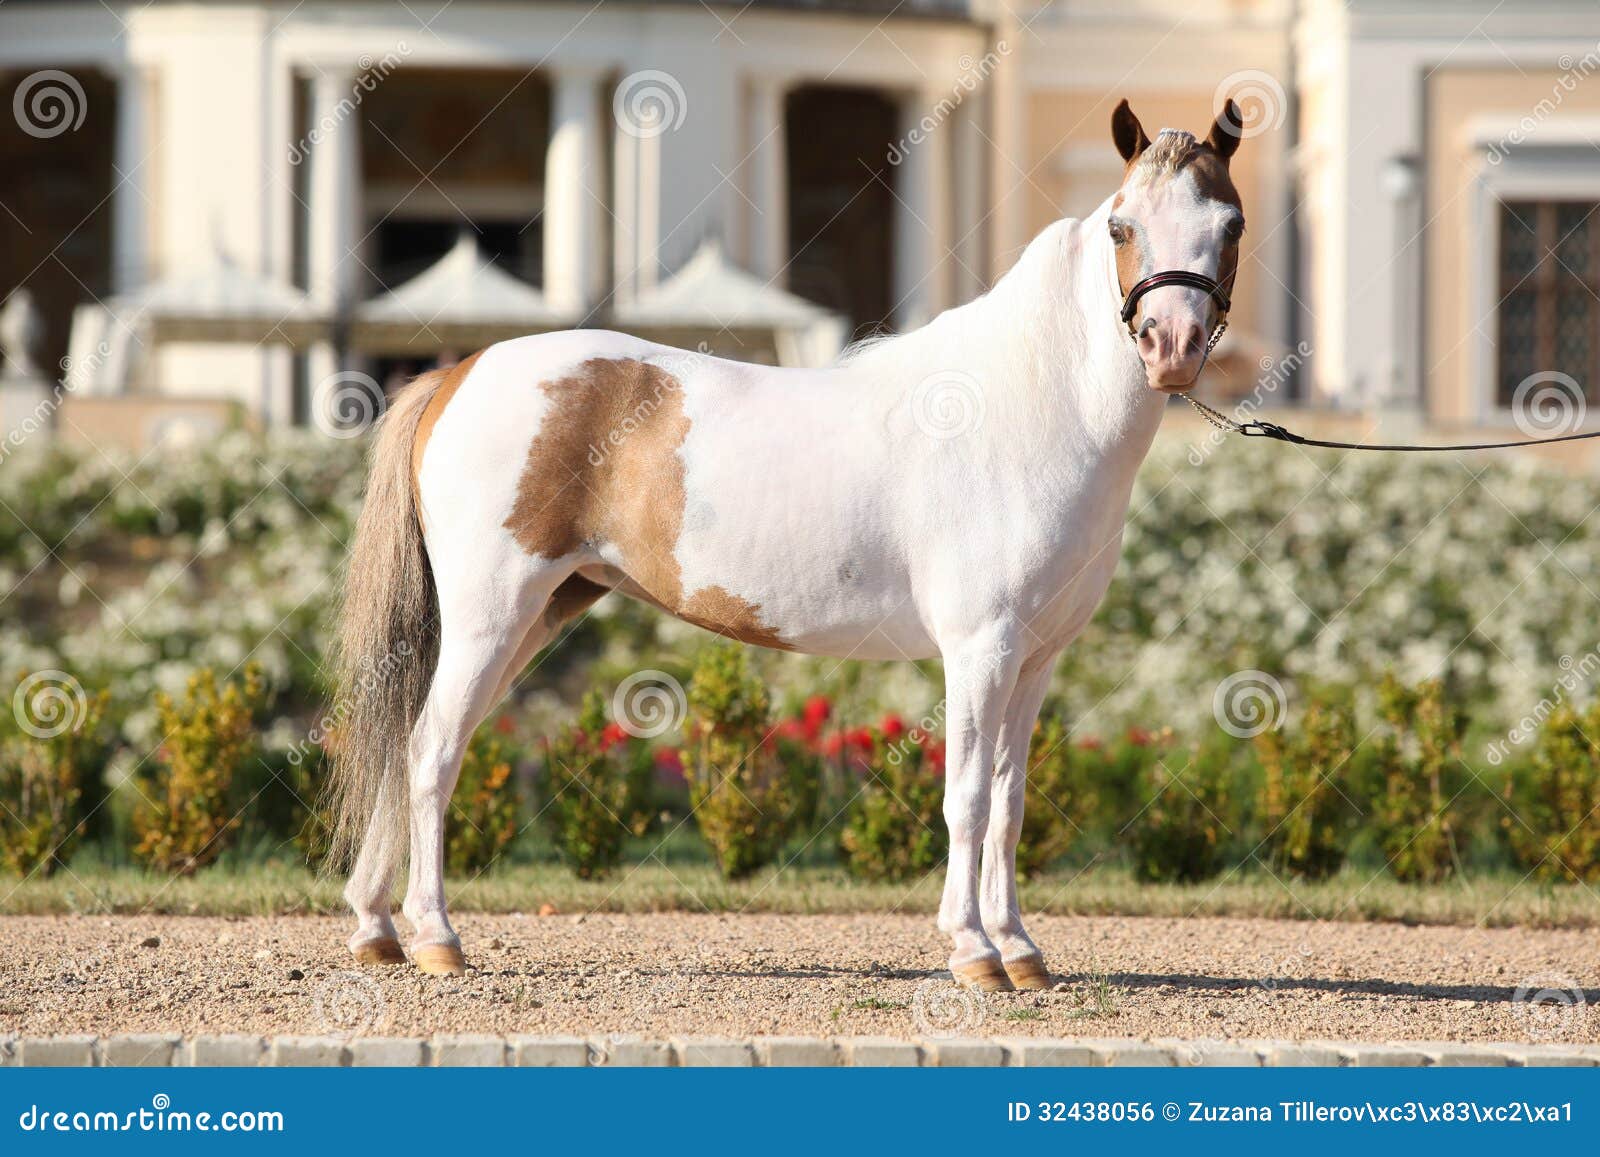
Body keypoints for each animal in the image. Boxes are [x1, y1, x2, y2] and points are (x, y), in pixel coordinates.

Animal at [327, 96, 1247, 990]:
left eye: (1230, 223)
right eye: (1121, 225)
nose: (1170, 347)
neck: (1028, 405)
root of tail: (456, 373)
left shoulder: (1036, 658)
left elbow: (1011, 800)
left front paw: (1021, 949)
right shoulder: (980, 648)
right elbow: (968, 799)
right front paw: (974, 951)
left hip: (539, 613)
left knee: (412, 741)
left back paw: (376, 928)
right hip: (492, 614)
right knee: (431, 749)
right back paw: (436, 936)